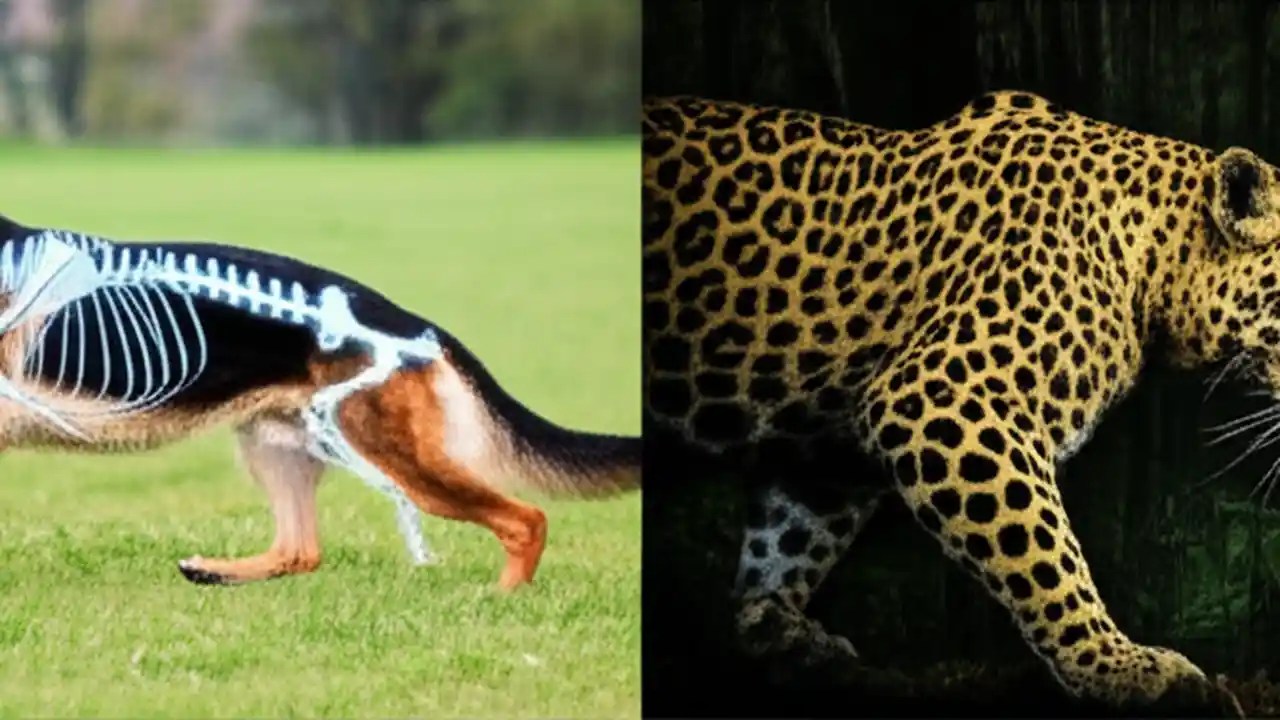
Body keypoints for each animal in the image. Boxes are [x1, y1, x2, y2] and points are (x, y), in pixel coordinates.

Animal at [640, 89, 1276, 715]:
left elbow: (785, 541)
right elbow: (1042, 552)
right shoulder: (940, 396)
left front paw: (776, 634)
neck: (1155, 253)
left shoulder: (823, 454)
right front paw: (1118, 666)